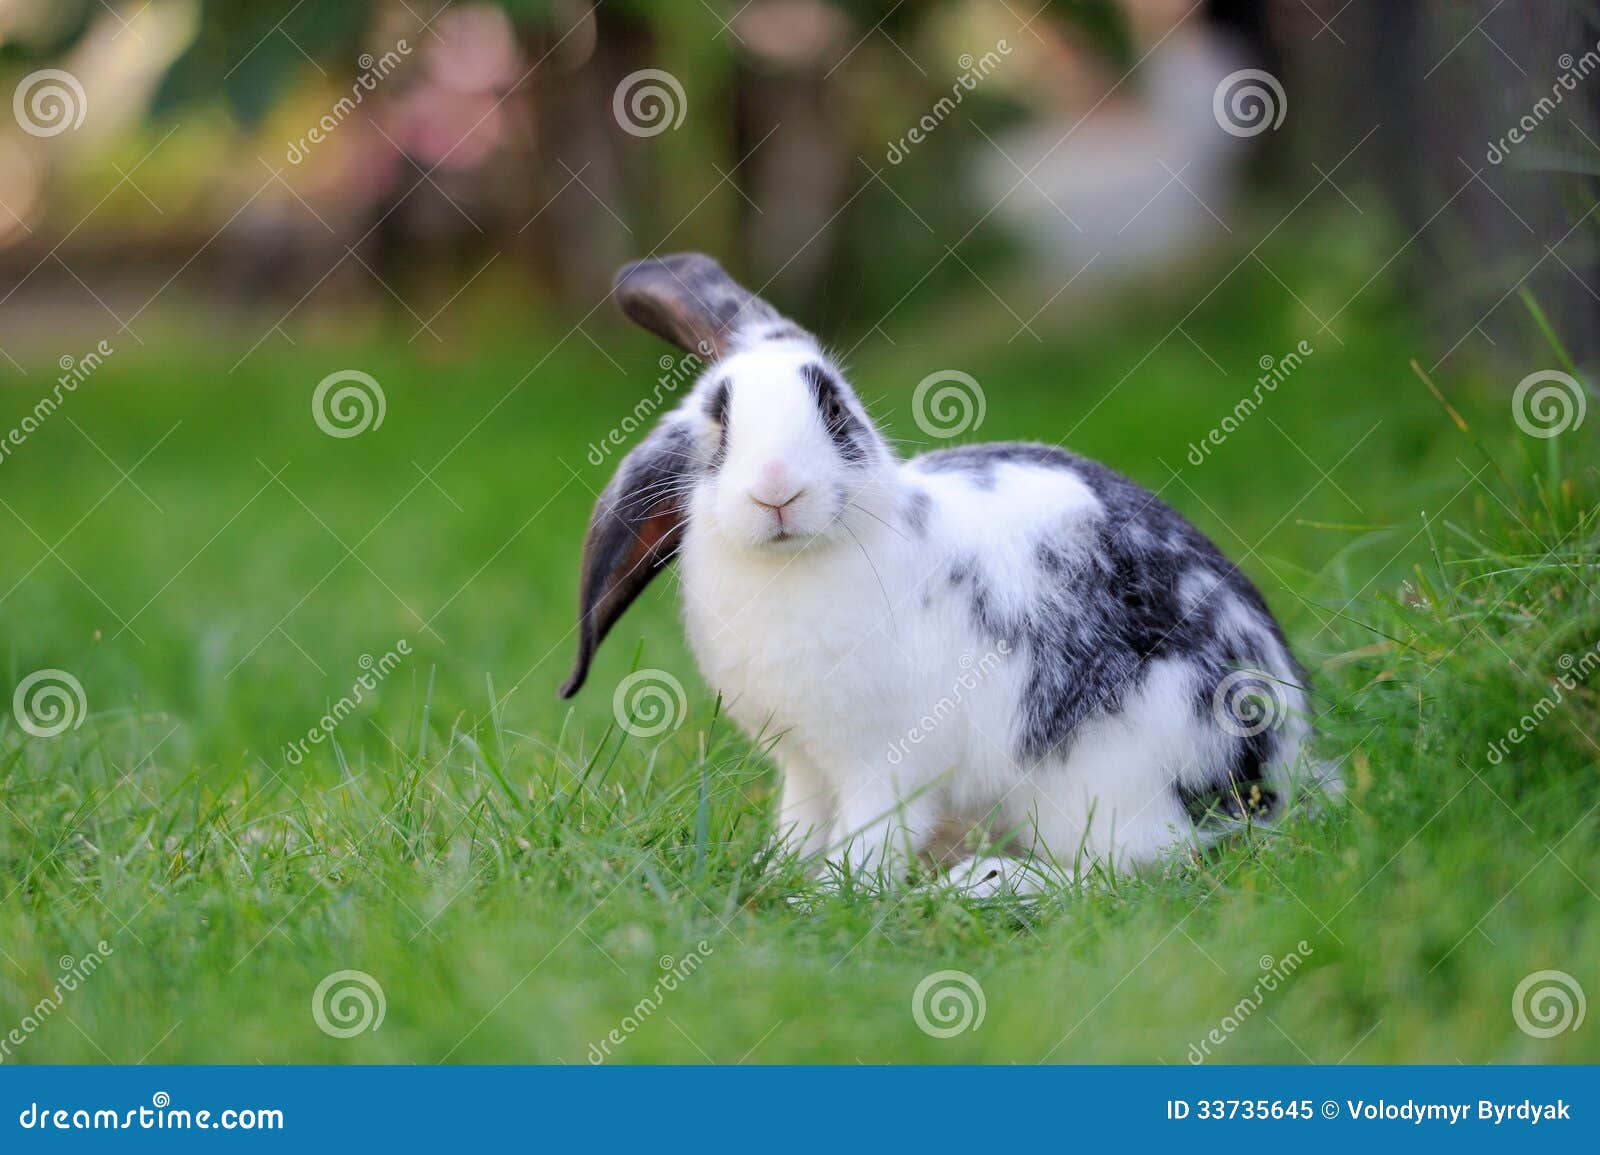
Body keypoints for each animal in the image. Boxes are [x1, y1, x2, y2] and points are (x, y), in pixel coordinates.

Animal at [560, 253, 1324, 896]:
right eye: (718, 424)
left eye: (834, 409)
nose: (776, 488)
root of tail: (1276, 779)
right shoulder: (805, 765)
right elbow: (799, 827)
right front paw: (775, 876)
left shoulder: (886, 766)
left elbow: (868, 840)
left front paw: (825, 897)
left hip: (1108, 776)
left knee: (1133, 866)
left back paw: (983, 883)